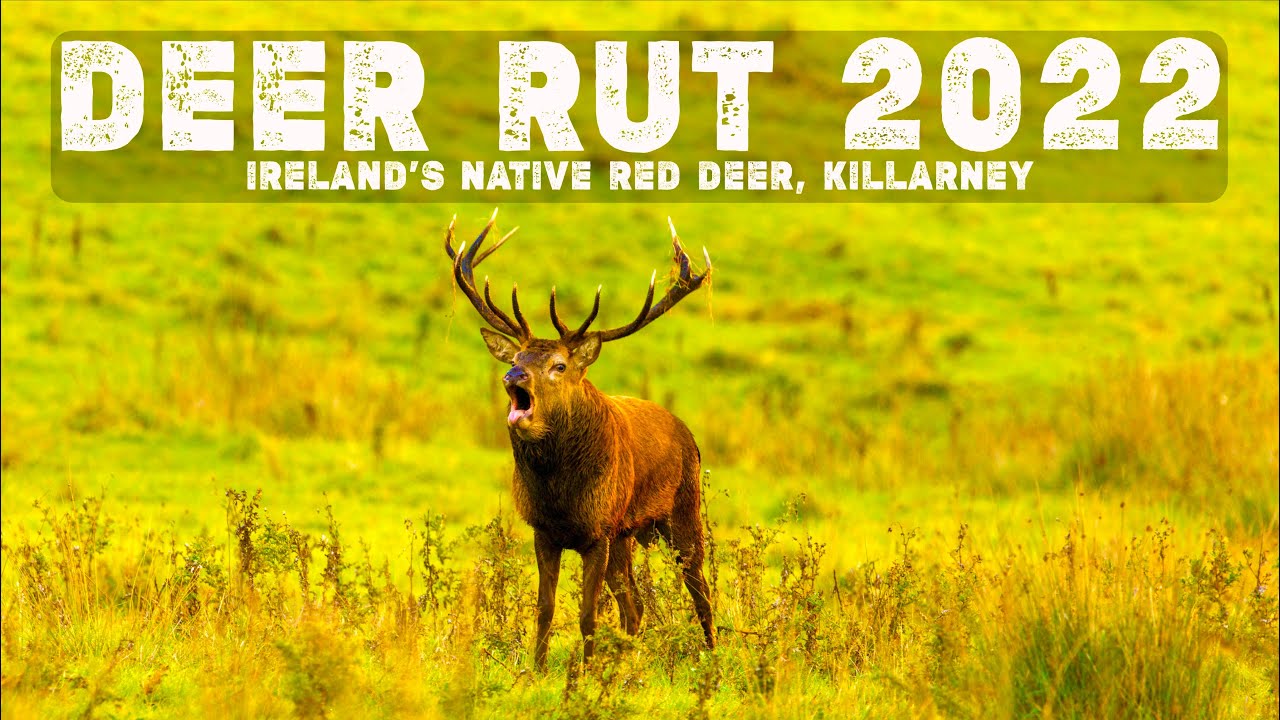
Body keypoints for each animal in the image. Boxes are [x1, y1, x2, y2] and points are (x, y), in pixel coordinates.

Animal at [444, 210, 715, 671]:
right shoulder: (543, 530)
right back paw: (626, 664)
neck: (559, 492)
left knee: (701, 591)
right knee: (635, 606)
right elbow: (545, 607)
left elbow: (589, 614)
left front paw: (584, 673)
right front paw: (537, 670)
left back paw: (712, 657)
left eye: (558, 365)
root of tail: (687, 433)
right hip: (627, 533)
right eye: (516, 357)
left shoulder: (598, 530)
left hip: (683, 509)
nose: (512, 376)